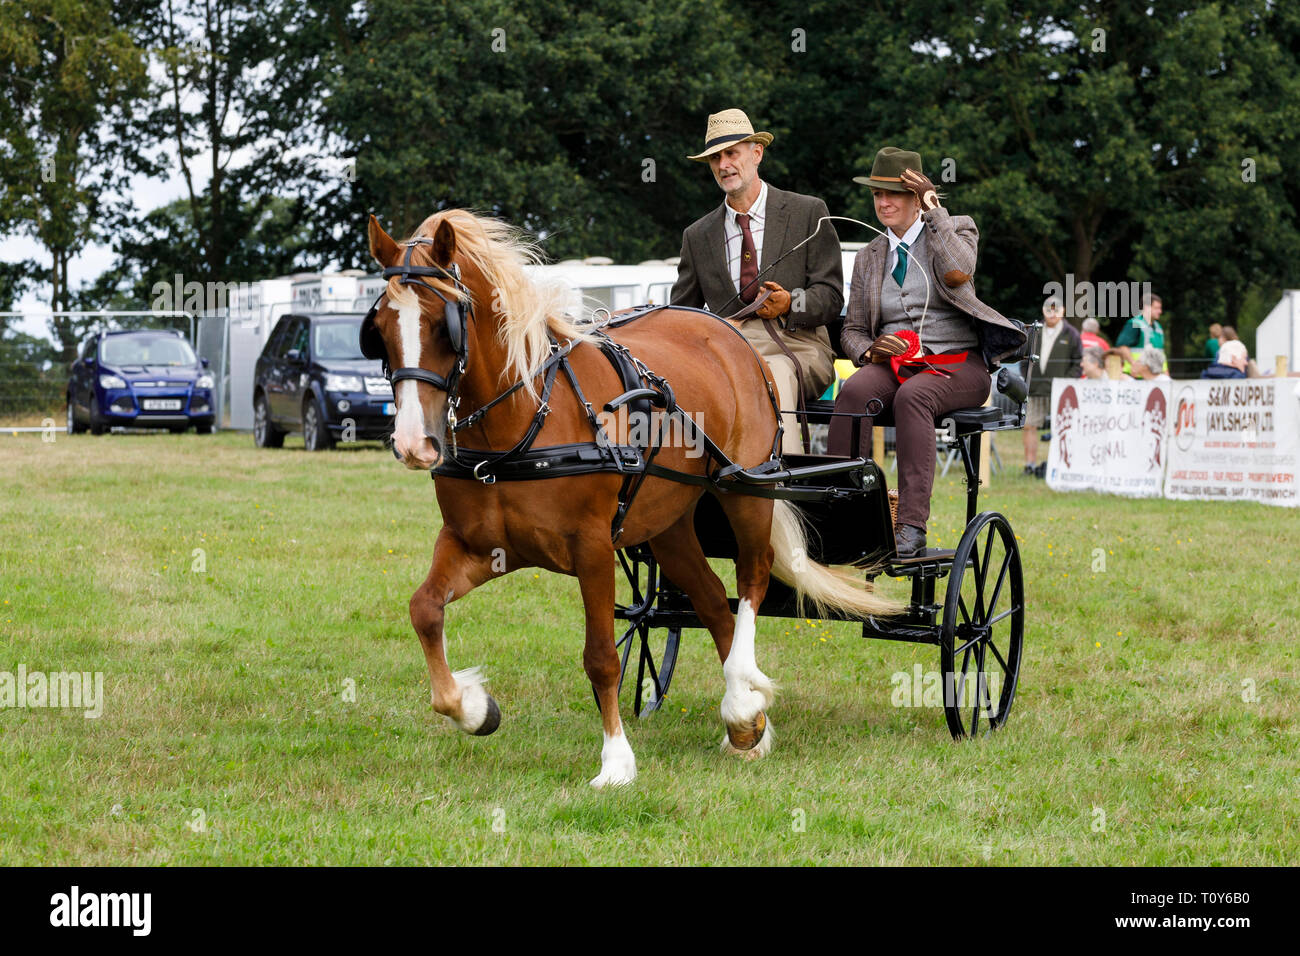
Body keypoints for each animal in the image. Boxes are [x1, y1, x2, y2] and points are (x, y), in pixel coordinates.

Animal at [362, 208, 896, 788]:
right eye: (381, 331)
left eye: (444, 325)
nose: (414, 444)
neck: (525, 421)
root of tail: (730, 332)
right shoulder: (478, 546)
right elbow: (424, 610)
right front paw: (474, 708)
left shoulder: (592, 548)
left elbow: (600, 657)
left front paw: (616, 762)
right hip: (669, 523)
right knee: (714, 601)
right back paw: (746, 723)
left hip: (747, 490)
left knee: (752, 579)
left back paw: (741, 698)